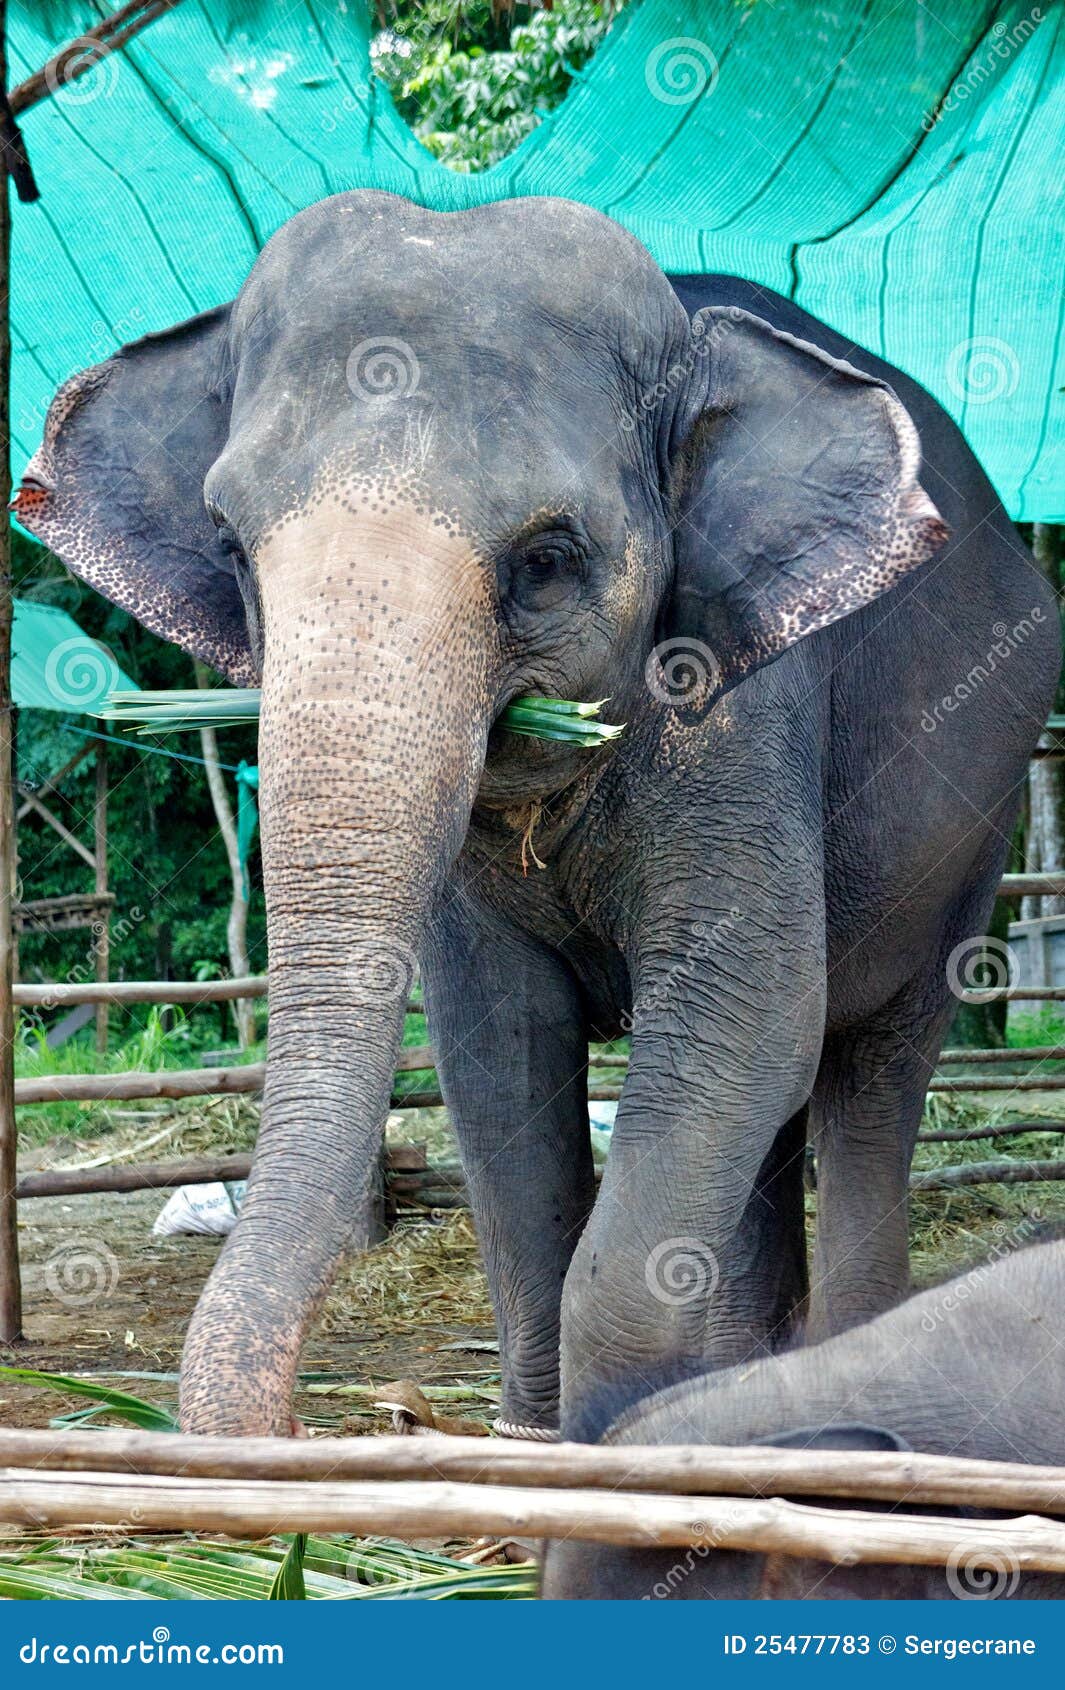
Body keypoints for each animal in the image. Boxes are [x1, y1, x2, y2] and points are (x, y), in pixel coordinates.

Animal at [16, 189, 1059, 1440]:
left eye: (550, 559)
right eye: (229, 544)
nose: (304, 1426)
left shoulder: (747, 712)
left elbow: (746, 999)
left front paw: (609, 1436)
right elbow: (498, 1048)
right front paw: (534, 1433)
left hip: (978, 833)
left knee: (871, 1064)